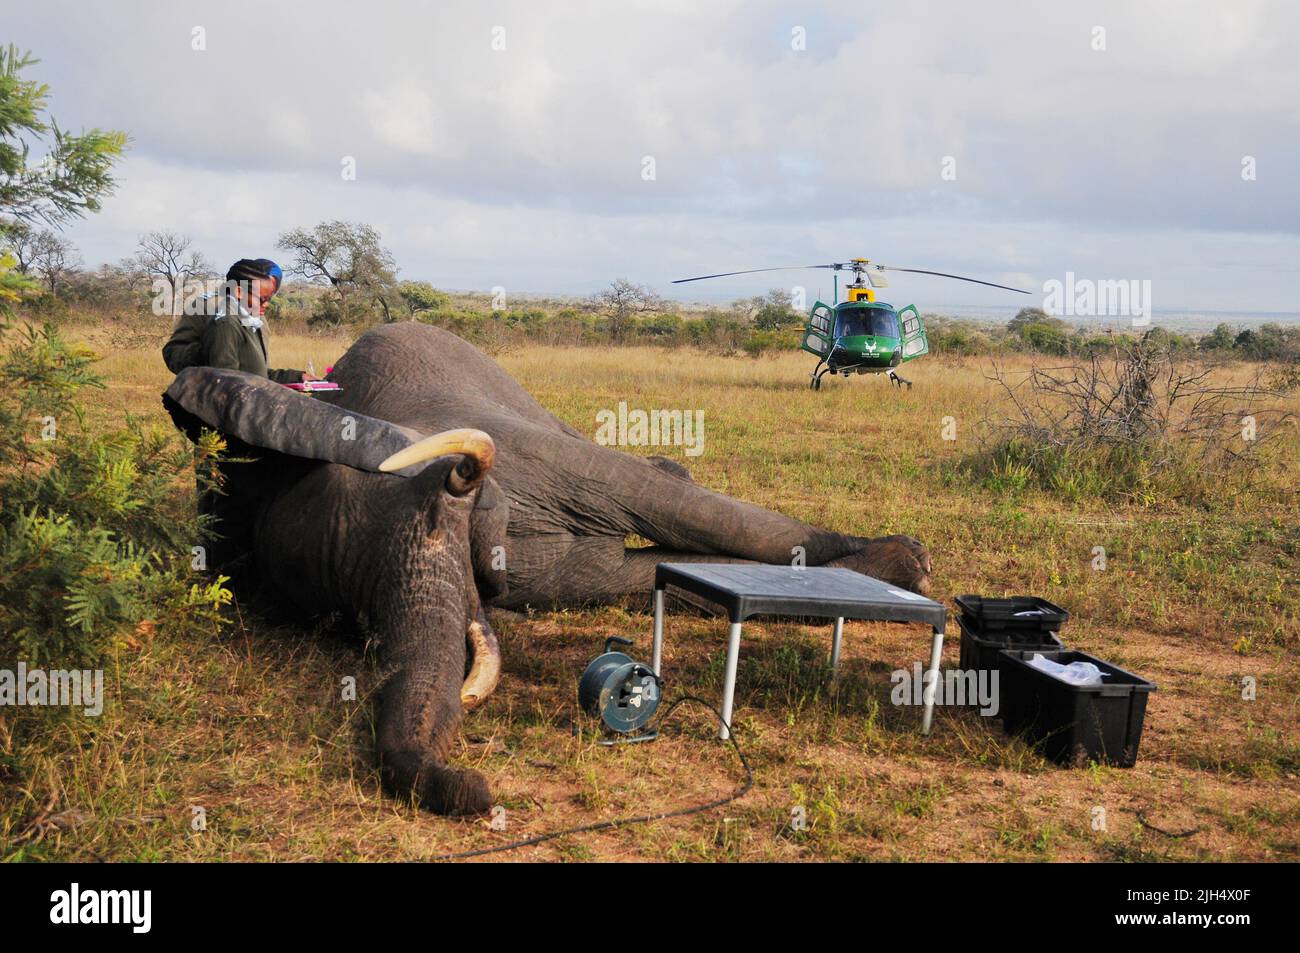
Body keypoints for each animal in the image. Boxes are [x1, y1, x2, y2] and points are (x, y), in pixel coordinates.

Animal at [163, 323, 931, 815]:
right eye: (349, 613)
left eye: (459, 490)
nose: (475, 787)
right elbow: (623, 573)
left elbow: (672, 507)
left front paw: (905, 565)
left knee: (654, 480)